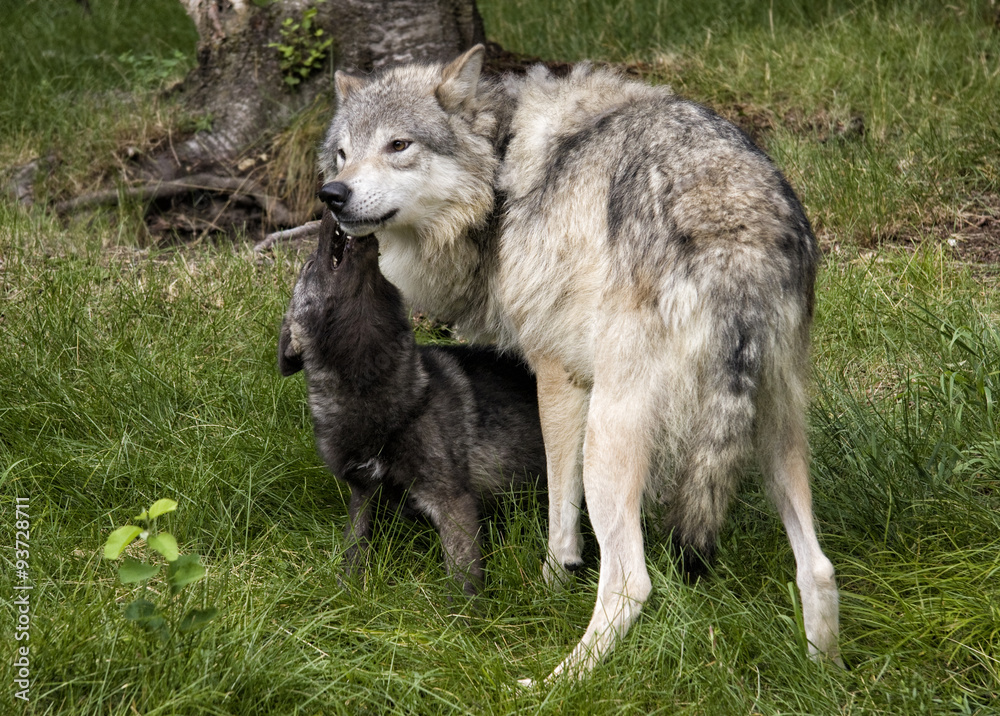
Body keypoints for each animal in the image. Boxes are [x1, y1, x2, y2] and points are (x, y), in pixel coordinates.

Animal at [278, 209, 546, 596]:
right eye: (311, 265)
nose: (327, 209)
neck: (370, 384)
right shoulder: (364, 494)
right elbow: (353, 550)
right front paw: (347, 593)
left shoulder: (452, 501)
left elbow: (462, 580)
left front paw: (465, 613)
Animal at [317, 45, 842, 681]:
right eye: (342, 153)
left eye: (399, 145)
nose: (333, 195)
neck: (500, 164)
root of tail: (733, 237)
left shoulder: (557, 374)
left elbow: (559, 507)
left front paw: (552, 579)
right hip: (774, 430)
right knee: (818, 568)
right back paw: (826, 680)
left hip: (610, 440)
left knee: (630, 583)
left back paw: (552, 683)